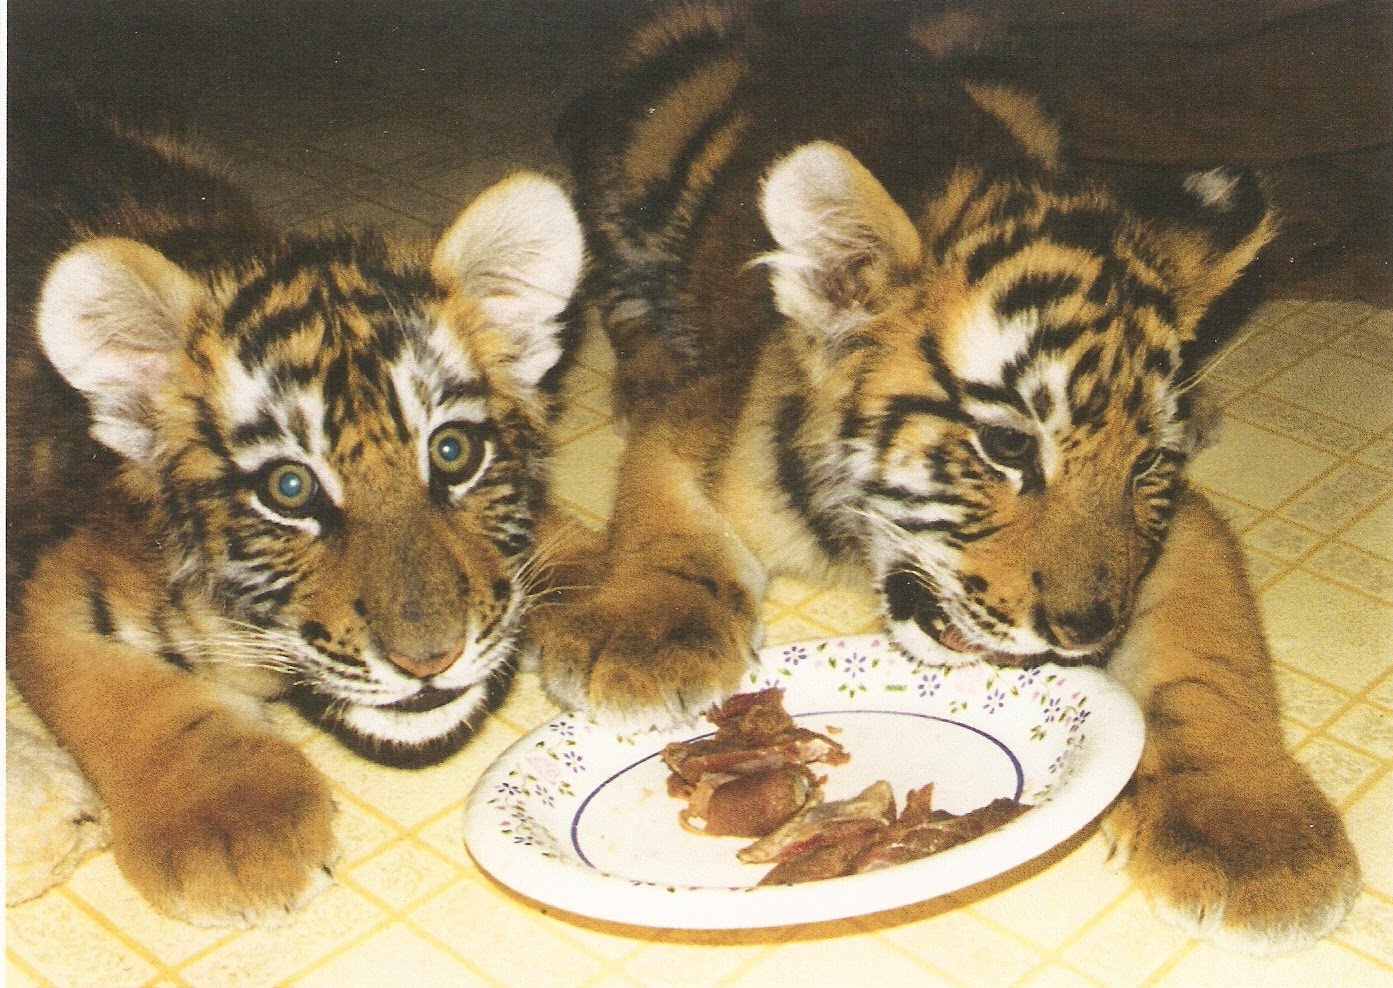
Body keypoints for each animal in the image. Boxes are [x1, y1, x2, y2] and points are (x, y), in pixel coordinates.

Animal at [5, 101, 583, 926]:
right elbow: (127, 695)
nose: (429, 660)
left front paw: (658, 620)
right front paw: (233, 818)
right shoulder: (49, 589)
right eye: (288, 489)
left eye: (451, 452)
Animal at [534, 1, 1362, 954]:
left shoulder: (1178, 528)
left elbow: (1208, 656)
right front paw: (642, 642)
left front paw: (1252, 840)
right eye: (1006, 446)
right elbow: (661, 526)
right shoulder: (698, 424)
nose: (1085, 632)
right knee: (617, 293)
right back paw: (639, 368)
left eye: (1145, 464)